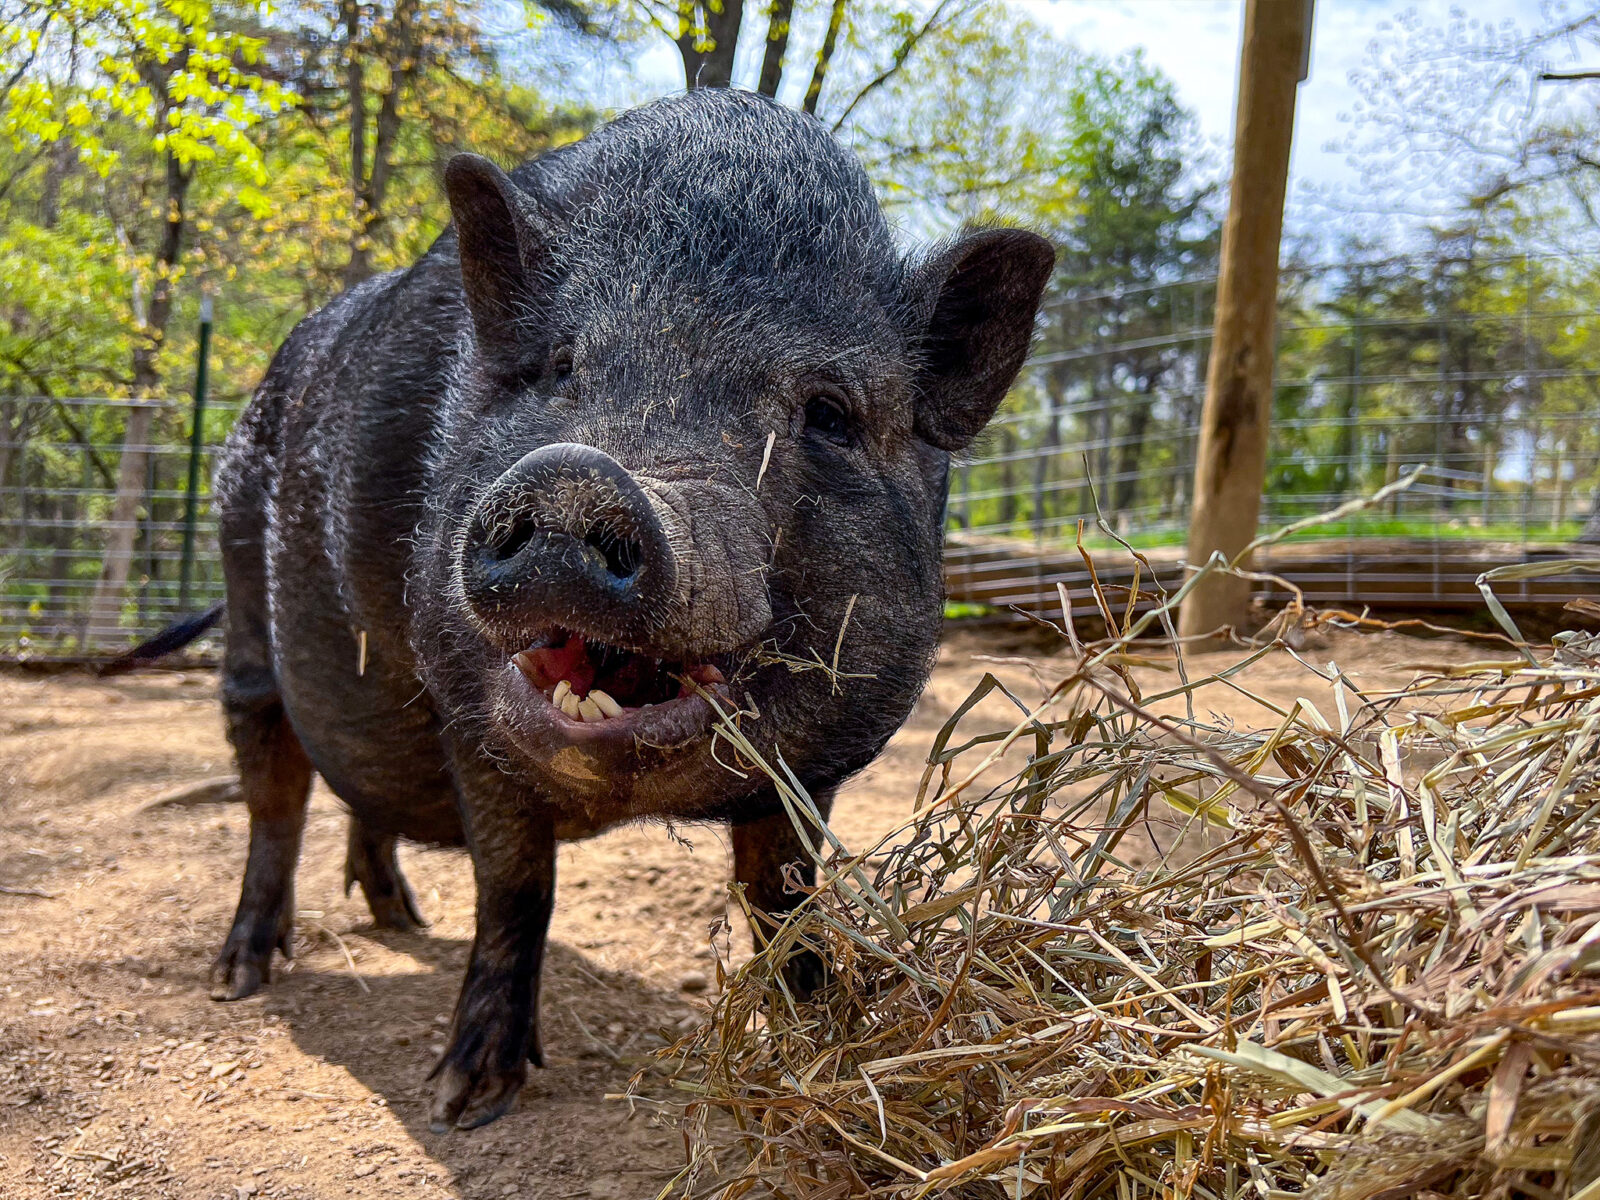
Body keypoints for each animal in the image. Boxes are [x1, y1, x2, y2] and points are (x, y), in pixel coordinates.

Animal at [202, 88, 1052, 1131]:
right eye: (563, 365)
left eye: (830, 412)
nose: (578, 480)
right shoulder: (463, 710)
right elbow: (515, 886)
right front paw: (462, 1101)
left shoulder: (813, 767)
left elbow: (784, 894)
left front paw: (827, 1035)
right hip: (241, 601)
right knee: (273, 792)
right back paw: (237, 978)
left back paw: (400, 918)